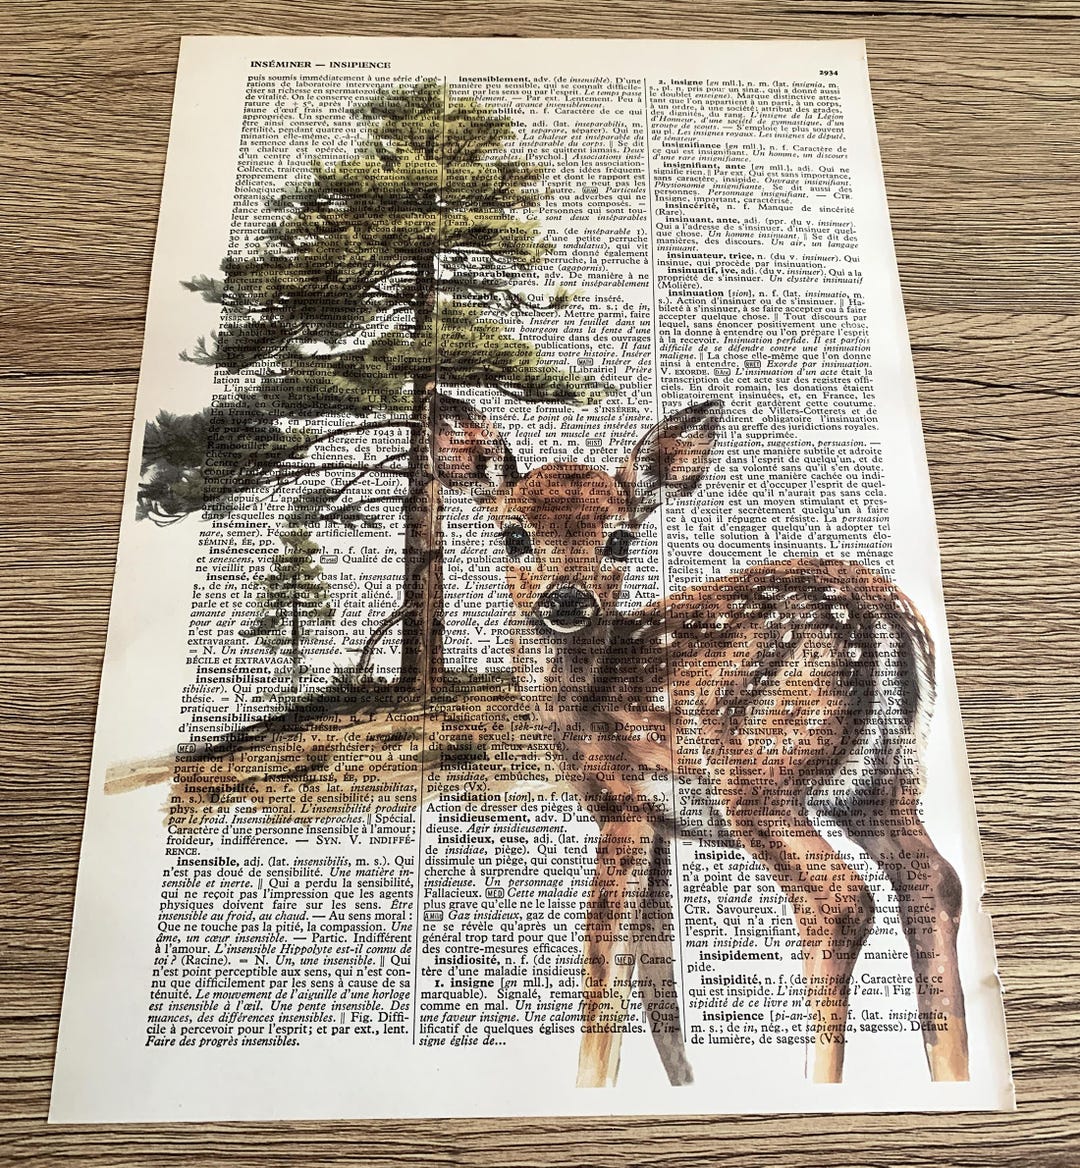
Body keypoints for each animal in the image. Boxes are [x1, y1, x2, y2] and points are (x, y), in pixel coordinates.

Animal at [433, 395, 970, 1089]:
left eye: (619, 539)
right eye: (515, 535)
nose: (568, 599)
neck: (582, 693)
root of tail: (888, 623)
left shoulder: (624, 801)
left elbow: (605, 959)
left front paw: (591, 1085)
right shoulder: (662, 820)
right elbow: (656, 968)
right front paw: (679, 1085)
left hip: (760, 773)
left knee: (841, 898)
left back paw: (816, 1081)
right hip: (885, 780)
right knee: (934, 879)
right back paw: (953, 1074)